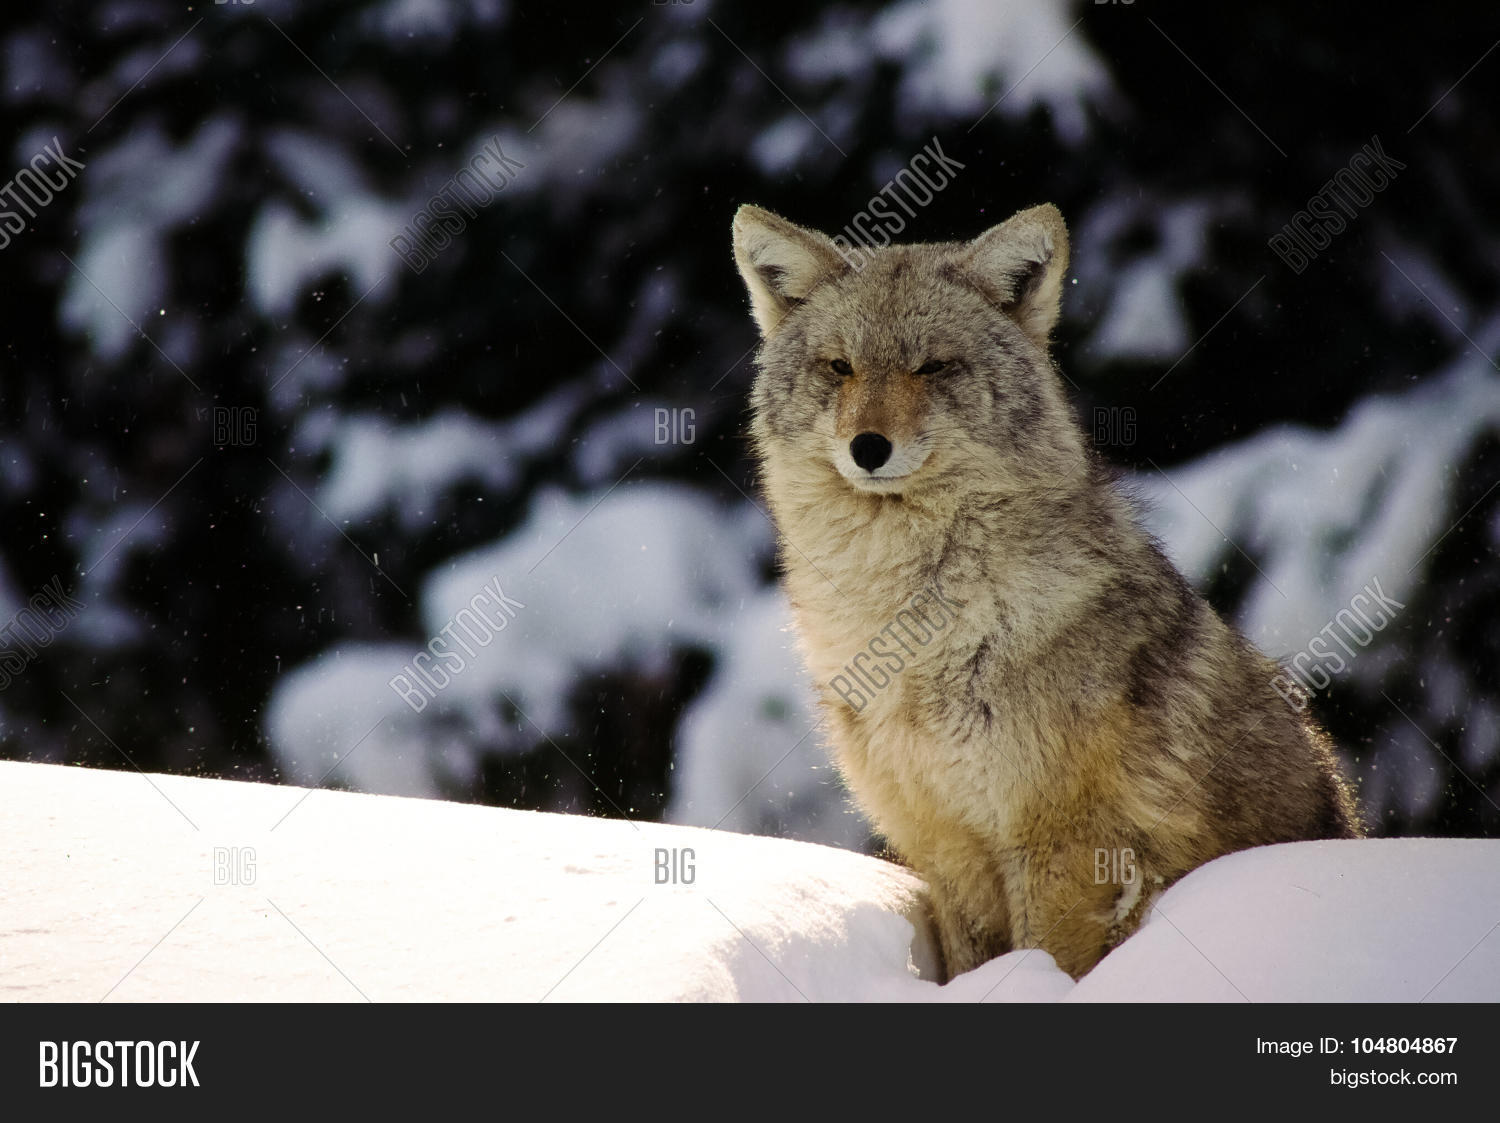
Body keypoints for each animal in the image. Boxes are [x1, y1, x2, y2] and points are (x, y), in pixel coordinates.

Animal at [731, 202, 1362, 980]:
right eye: (839, 367)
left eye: (932, 366)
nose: (868, 448)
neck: (911, 633)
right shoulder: (945, 844)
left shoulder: (1064, 844)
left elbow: (1048, 958)